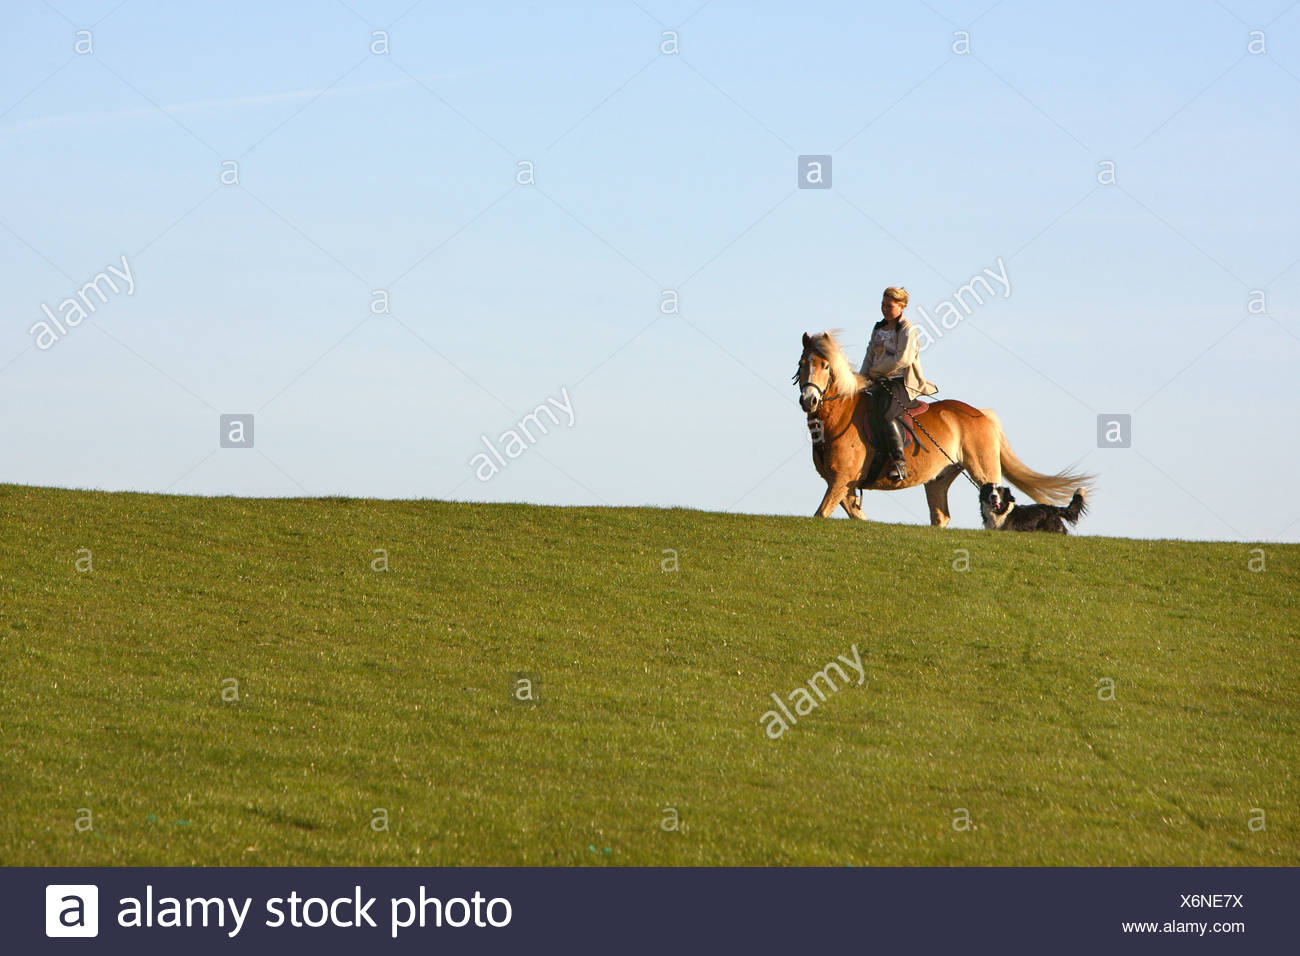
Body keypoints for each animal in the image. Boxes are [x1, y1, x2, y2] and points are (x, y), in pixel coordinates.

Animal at [794, 331, 1092, 525]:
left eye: (825, 366)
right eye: (802, 363)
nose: (809, 400)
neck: (839, 417)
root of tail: (981, 414)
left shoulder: (841, 480)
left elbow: (821, 513)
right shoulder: (841, 484)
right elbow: (853, 514)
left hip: (984, 471)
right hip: (939, 478)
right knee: (941, 517)